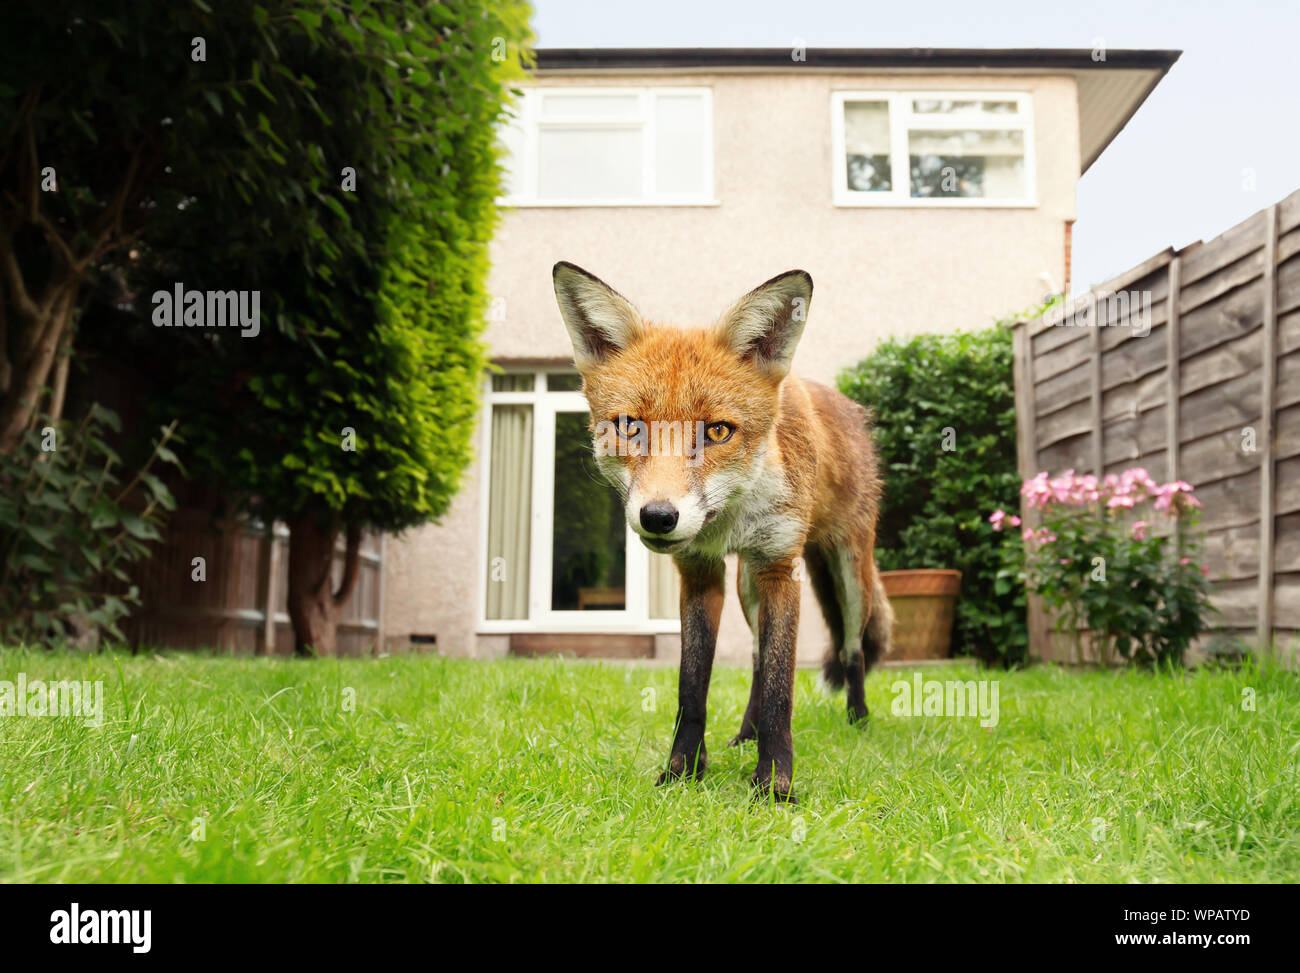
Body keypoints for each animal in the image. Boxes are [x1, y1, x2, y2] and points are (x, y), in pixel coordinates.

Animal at [552, 262, 892, 803]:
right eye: (629, 426)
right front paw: (681, 772)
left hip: (848, 573)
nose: (658, 516)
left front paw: (774, 785)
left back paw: (858, 720)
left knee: (852, 648)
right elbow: (692, 689)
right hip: (748, 587)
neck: (731, 518)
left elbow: (780, 689)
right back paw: (745, 734)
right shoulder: (700, 574)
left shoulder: (781, 571)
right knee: (755, 656)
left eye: (717, 431)